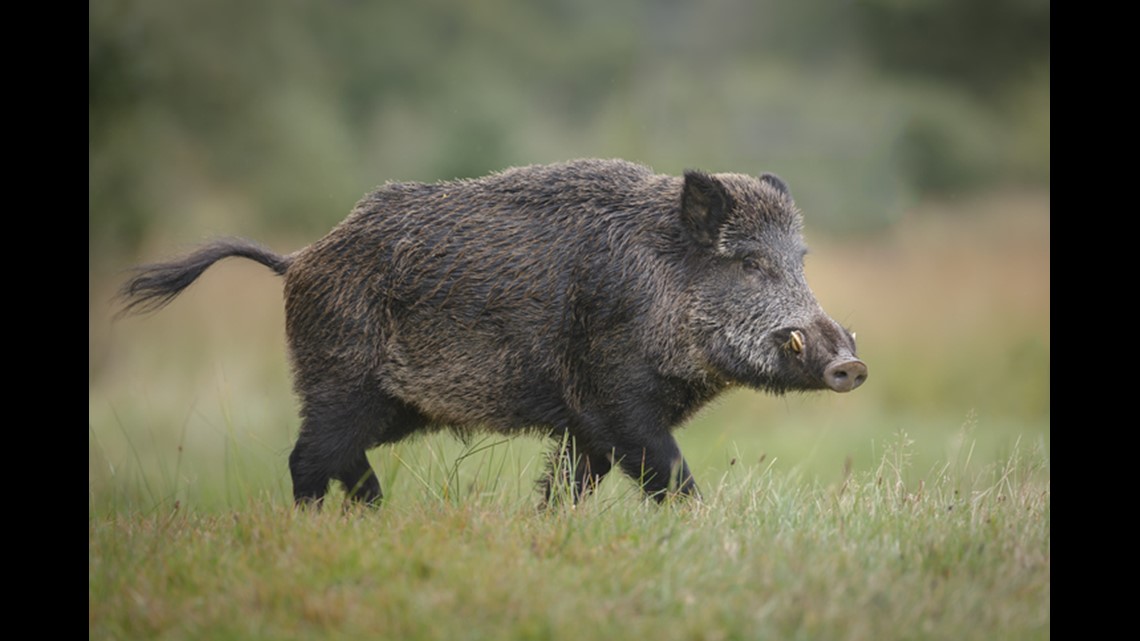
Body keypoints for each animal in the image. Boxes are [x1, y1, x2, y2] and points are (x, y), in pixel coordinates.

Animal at [118, 159, 866, 507]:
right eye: (748, 262)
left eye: (799, 260)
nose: (850, 365)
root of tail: (298, 259)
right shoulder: (616, 399)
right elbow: (669, 475)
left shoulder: (585, 424)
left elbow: (569, 485)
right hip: (339, 380)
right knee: (309, 458)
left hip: (389, 405)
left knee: (341, 460)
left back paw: (377, 517)